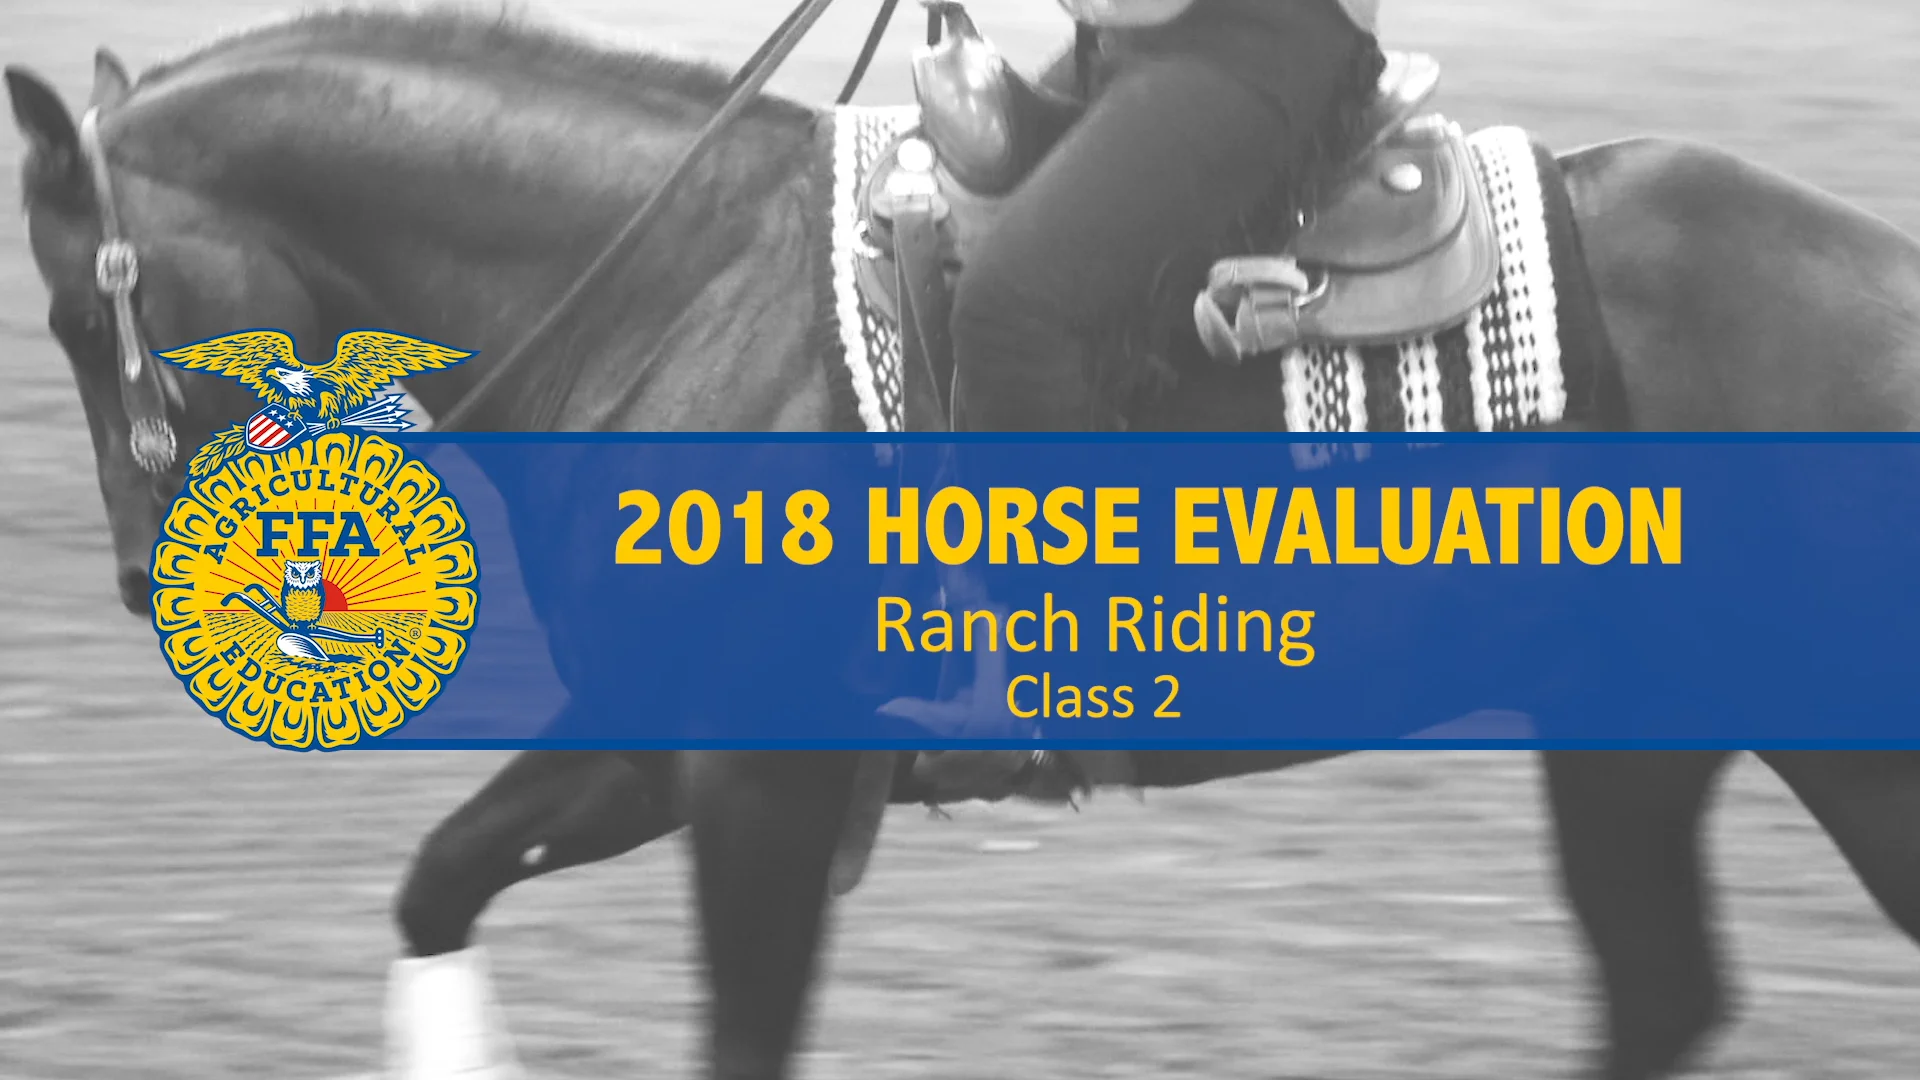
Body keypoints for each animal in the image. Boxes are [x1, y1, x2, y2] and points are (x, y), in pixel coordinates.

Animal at [10, 10, 1920, 1080]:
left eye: (79, 315)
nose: (142, 582)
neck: (680, 279)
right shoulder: (645, 756)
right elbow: (437, 889)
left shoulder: (758, 791)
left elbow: (740, 1031)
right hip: (1632, 744)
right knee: (1663, 998)